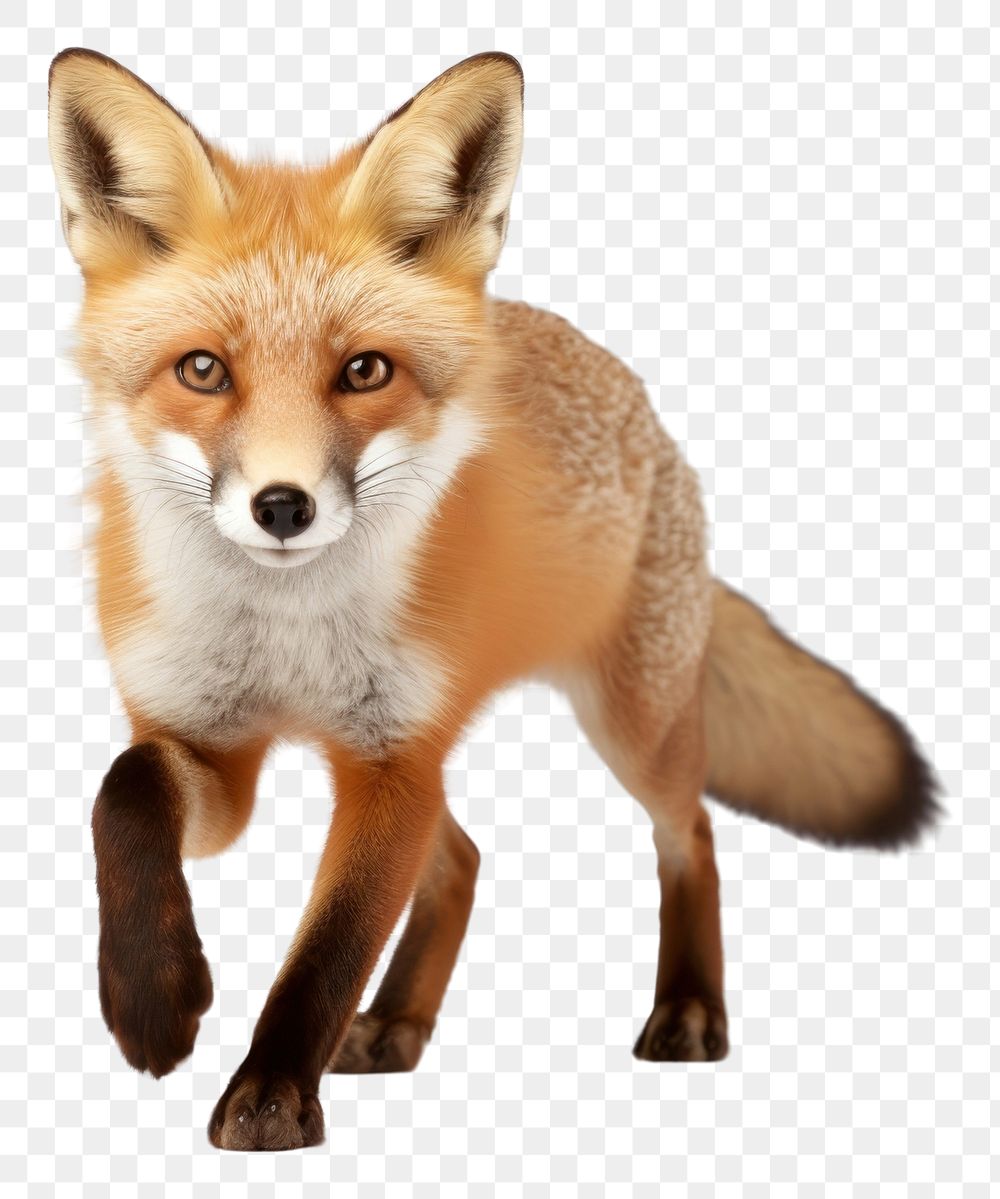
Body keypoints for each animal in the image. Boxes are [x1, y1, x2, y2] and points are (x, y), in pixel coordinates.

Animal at [47, 47, 939, 1151]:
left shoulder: (391, 762)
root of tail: (642, 405)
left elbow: (329, 947)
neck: (290, 633)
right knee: (465, 857)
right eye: (203, 370)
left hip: (629, 725)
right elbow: (122, 795)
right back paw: (397, 1022)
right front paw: (154, 1000)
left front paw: (272, 1092)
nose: (283, 506)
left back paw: (689, 1005)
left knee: (688, 830)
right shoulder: (208, 738)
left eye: (365, 370)